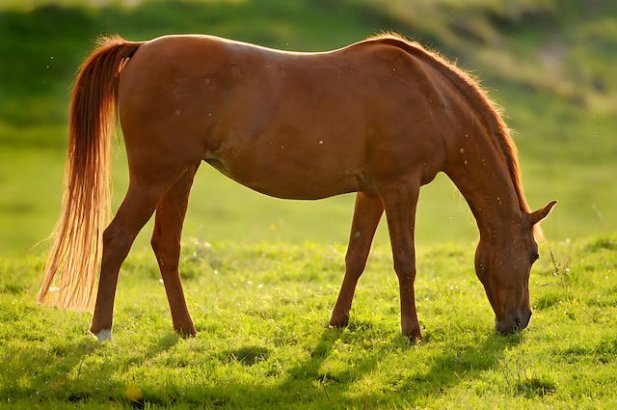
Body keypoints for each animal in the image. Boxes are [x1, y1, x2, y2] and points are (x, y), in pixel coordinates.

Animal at [41, 32, 556, 342]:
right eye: (532, 255)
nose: (520, 321)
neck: (430, 98)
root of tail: (142, 48)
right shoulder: (401, 189)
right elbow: (405, 262)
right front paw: (412, 332)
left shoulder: (372, 192)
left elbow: (356, 257)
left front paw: (338, 321)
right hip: (154, 177)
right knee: (115, 239)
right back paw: (102, 330)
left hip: (180, 175)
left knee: (165, 246)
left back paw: (186, 329)